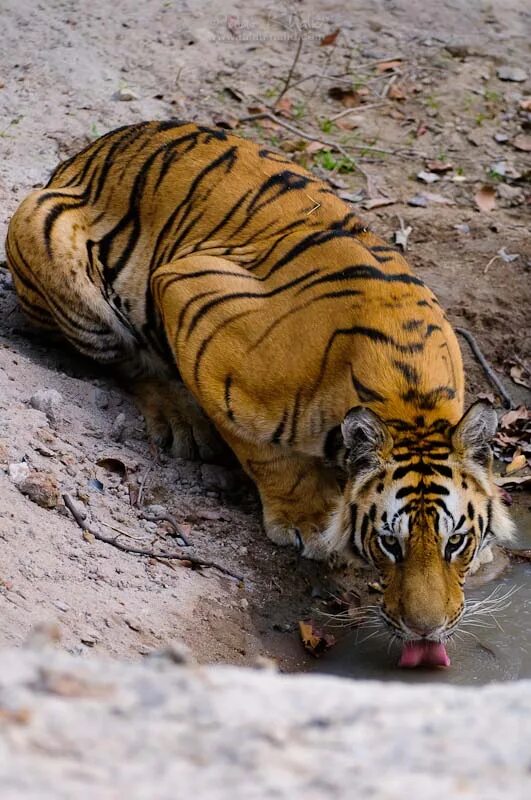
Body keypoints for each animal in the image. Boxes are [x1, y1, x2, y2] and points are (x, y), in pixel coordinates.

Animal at [5, 120, 514, 666]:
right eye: (389, 544)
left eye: (455, 542)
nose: (427, 631)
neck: (410, 403)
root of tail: (83, 154)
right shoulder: (192, 304)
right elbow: (259, 450)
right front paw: (305, 519)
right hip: (51, 247)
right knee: (129, 359)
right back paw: (183, 421)